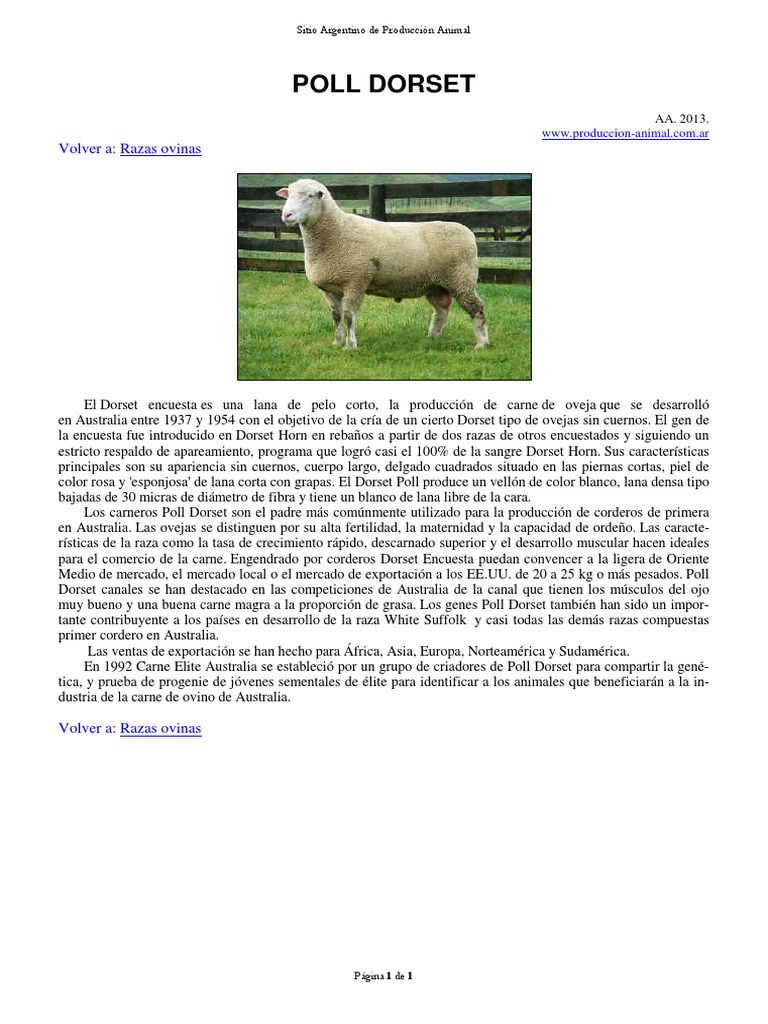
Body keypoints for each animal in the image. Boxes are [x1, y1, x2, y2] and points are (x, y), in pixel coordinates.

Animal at [276, 179, 489, 350]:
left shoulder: (356, 280)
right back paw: (433, 337)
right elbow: (336, 317)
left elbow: (349, 316)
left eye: (310, 196)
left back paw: (482, 343)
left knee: (476, 308)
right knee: (441, 311)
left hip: (461, 279)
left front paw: (350, 345)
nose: (286, 215)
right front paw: (336, 342)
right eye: (288, 195)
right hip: (436, 284)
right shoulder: (329, 288)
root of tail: (469, 233)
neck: (336, 232)